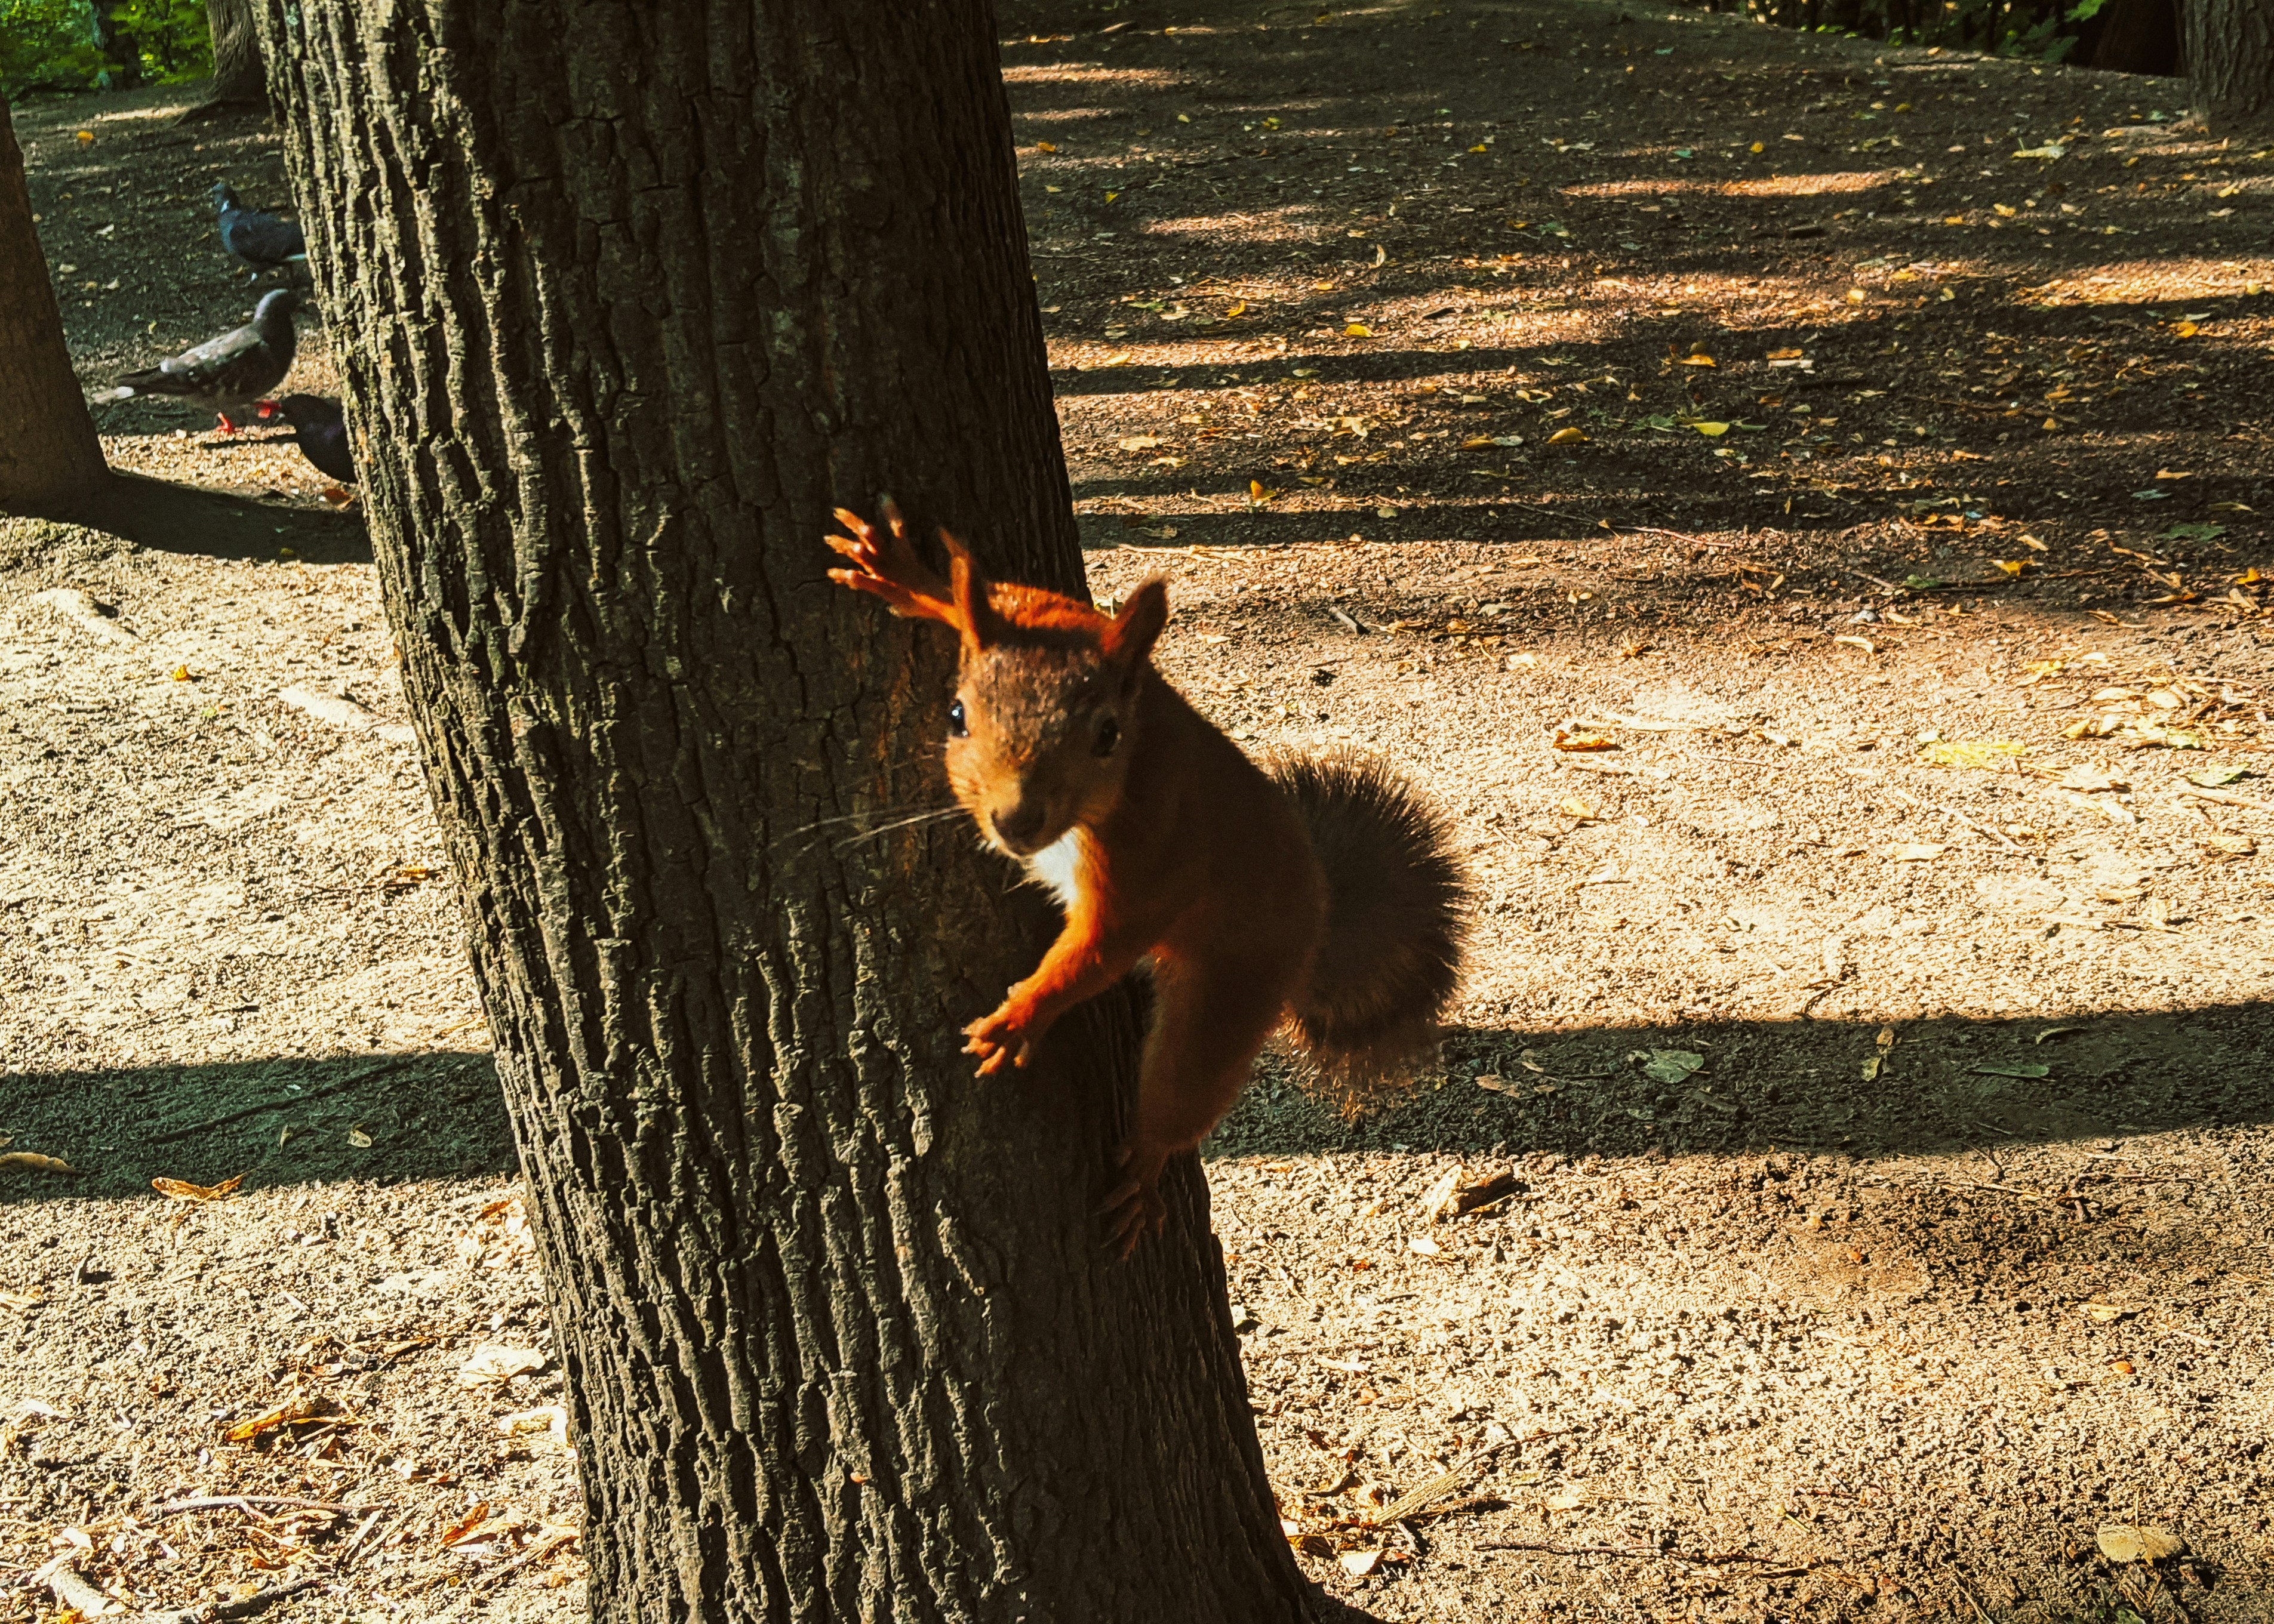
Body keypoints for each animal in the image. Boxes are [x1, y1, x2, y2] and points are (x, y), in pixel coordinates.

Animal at [826, 503, 1470, 1254]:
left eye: (1105, 736)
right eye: (956, 716)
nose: (1016, 820)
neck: (1139, 752)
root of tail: (1317, 919)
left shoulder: (1152, 860)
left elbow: (1097, 951)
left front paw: (1021, 1017)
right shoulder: (1067, 626)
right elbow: (1021, 601)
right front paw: (905, 574)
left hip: (1228, 988)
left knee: (1182, 1088)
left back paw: (1145, 1169)